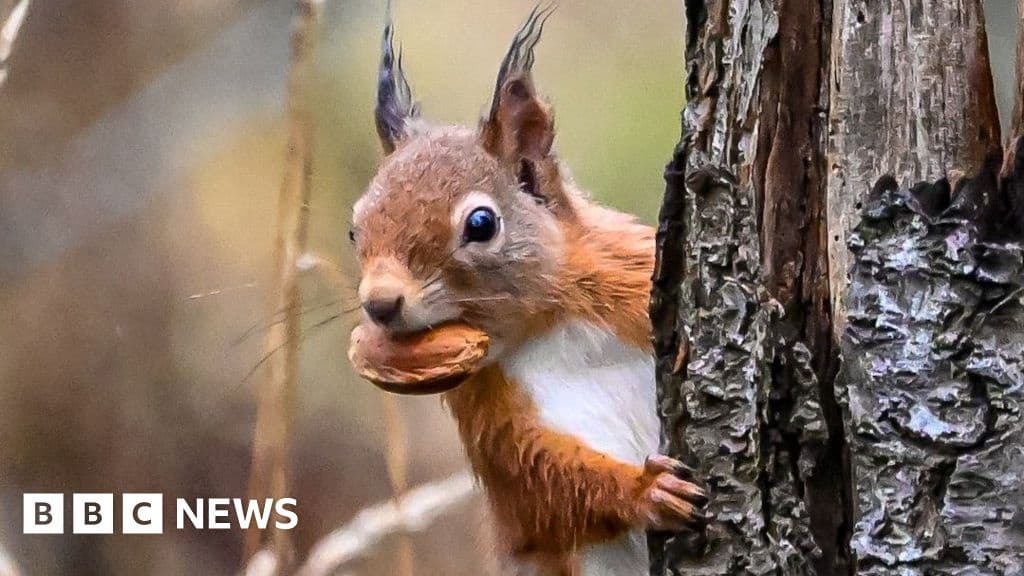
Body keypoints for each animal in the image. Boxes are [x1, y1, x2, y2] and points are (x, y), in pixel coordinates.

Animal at [351, 7, 709, 575]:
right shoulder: (490, 416)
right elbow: (543, 484)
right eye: (354, 229)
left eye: (481, 223)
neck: (547, 323)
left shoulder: (629, 279)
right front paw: (646, 490)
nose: (380, 303)